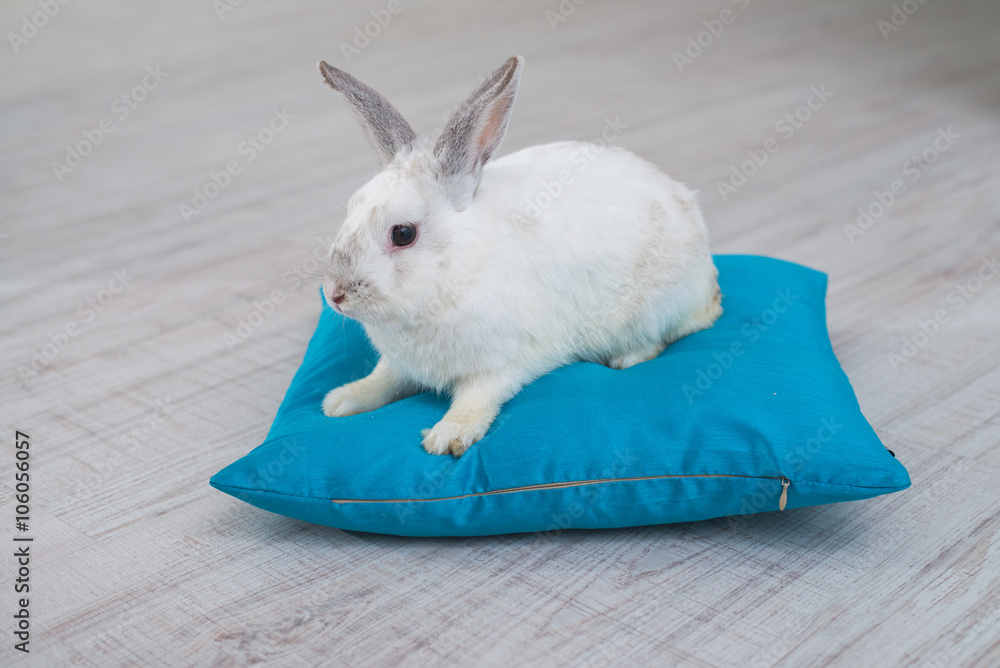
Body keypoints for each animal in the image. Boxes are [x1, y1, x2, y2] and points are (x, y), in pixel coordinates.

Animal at [317, 55, 721, 457]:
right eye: (351, 208)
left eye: (403, 234)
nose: (335, 295)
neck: (458, 270)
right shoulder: (399, 366)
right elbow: (382, 380)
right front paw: (340, 401)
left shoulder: (503, 364)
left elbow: (477, 399)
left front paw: (448, 436)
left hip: (653, 313)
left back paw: (626, 359)